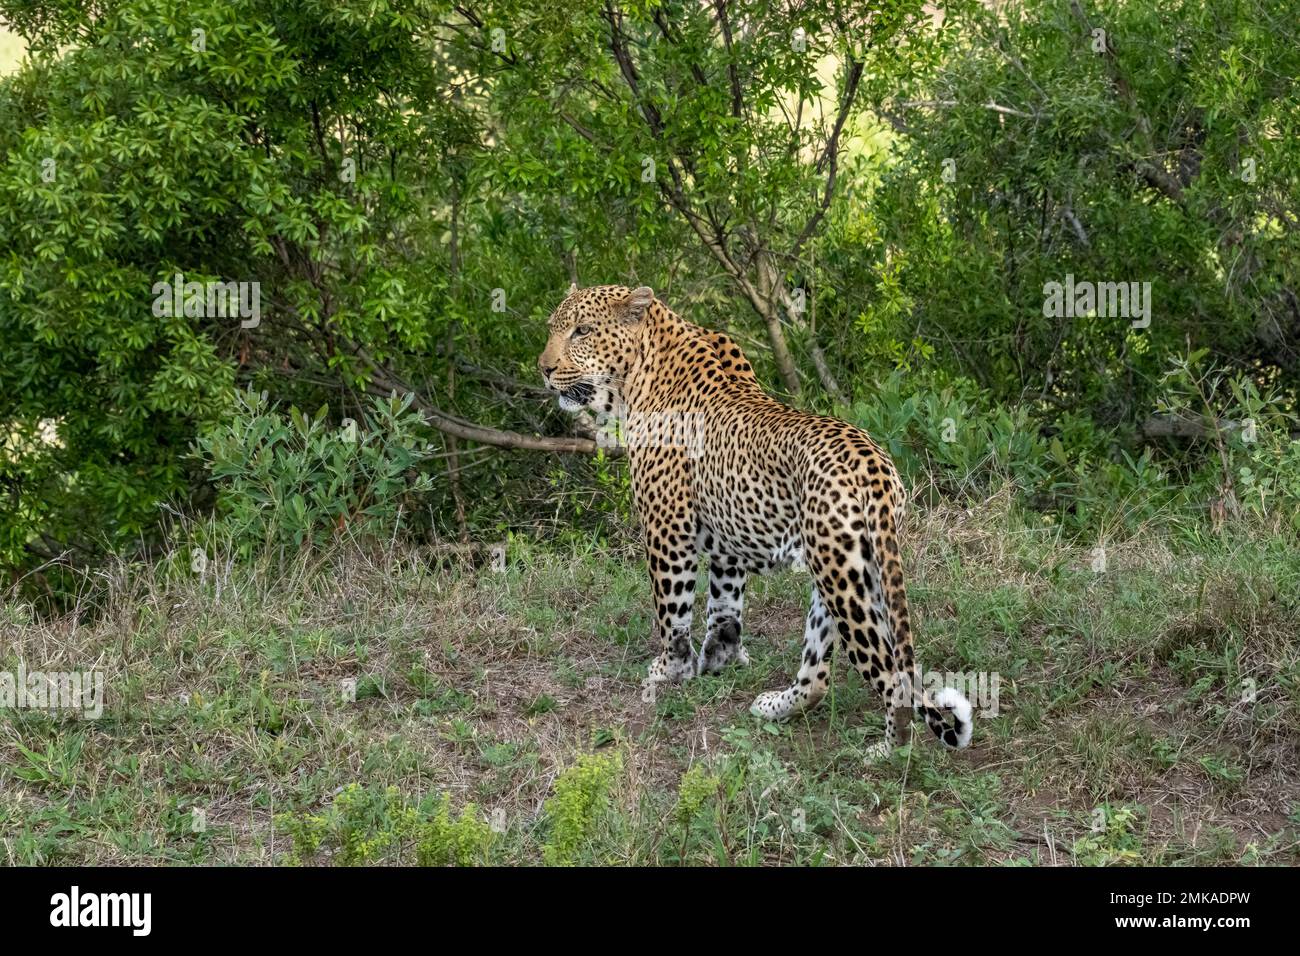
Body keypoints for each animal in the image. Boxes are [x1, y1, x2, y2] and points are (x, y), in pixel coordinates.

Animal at [538, 284, 972, 754]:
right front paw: (721, 659)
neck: (640, 375)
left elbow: (671, 609)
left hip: (842, 581)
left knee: (891, 674)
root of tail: (871, 463)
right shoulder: (726, 540)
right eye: (553, 329)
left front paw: (670, 670)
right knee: (819, 671)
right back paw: (777, 706)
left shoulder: (666, 529)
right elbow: (724, 605)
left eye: (582, 331)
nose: (544, 369)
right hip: (848, 569)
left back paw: (887, 751)